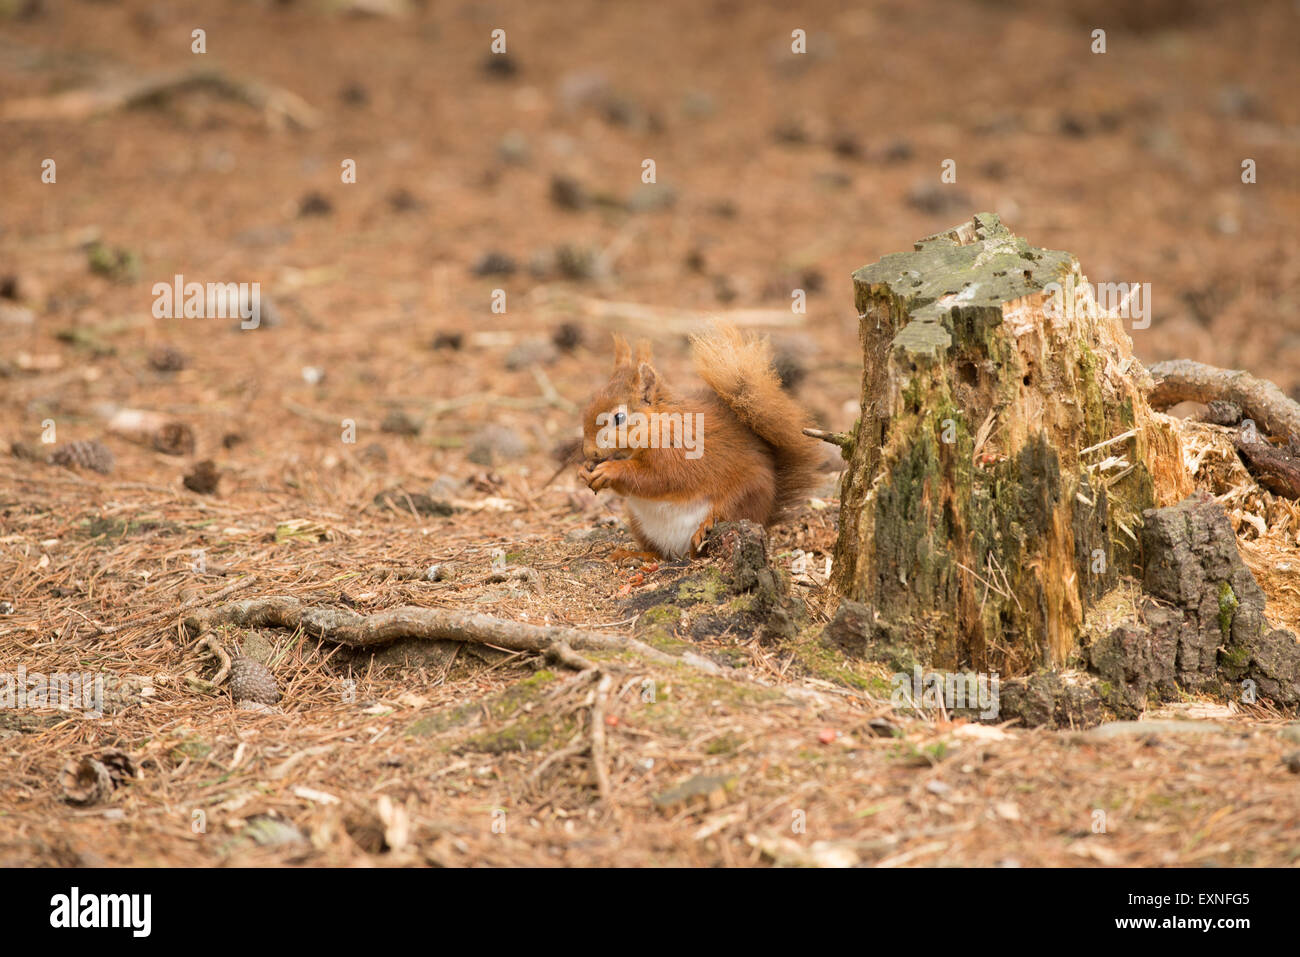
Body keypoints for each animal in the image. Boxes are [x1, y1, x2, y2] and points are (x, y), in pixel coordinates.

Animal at [577, 324, 822, 560]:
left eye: (619, 418)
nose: (589, 452)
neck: (657, 424)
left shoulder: (677, 451)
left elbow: (657, 478)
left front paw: (610, 470)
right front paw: (583, 470)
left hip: (744, 498)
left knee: (714, 530)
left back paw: (704, 530)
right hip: (640, 525)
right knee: (660, 554)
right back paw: (636, 555)